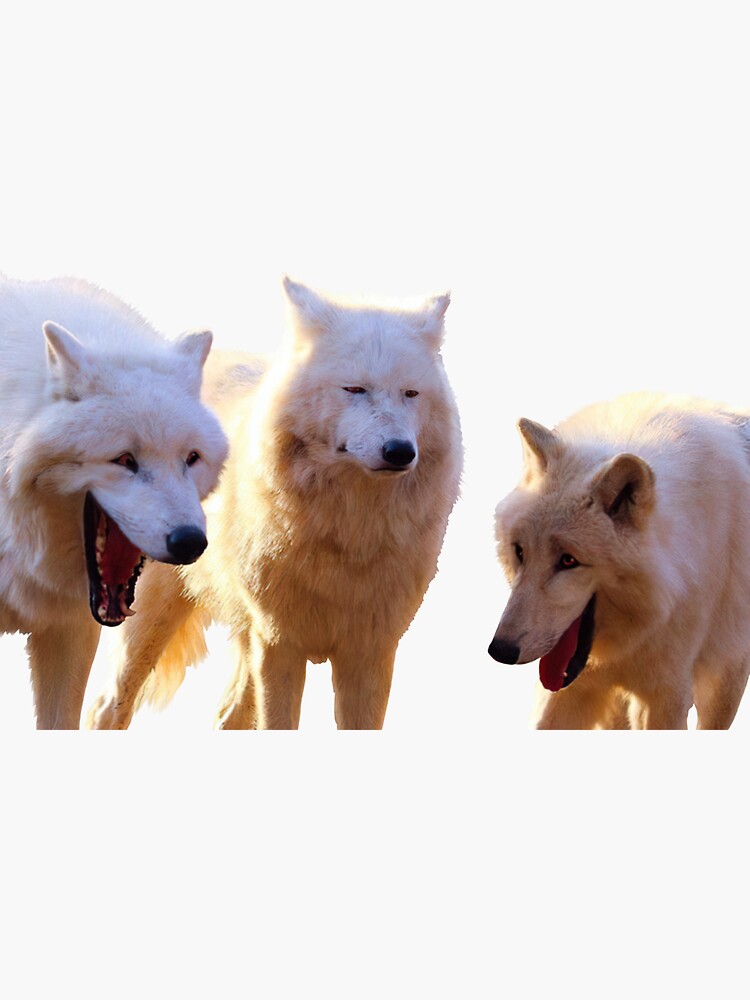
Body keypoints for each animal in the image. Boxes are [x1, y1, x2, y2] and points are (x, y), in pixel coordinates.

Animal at [87, 276, 463, 730]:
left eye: (411, 393)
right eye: (355, 389)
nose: (400, 451)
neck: (349, 533)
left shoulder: (370, 652)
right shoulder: (279, 642)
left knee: (227, 716)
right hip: (153, 618)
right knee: (108, 707)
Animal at [488, 392, 750, 730]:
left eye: (569, 561)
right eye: (520, 552)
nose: (500, 650)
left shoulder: (667, 695)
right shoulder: (571, 686)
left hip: (723, 685)